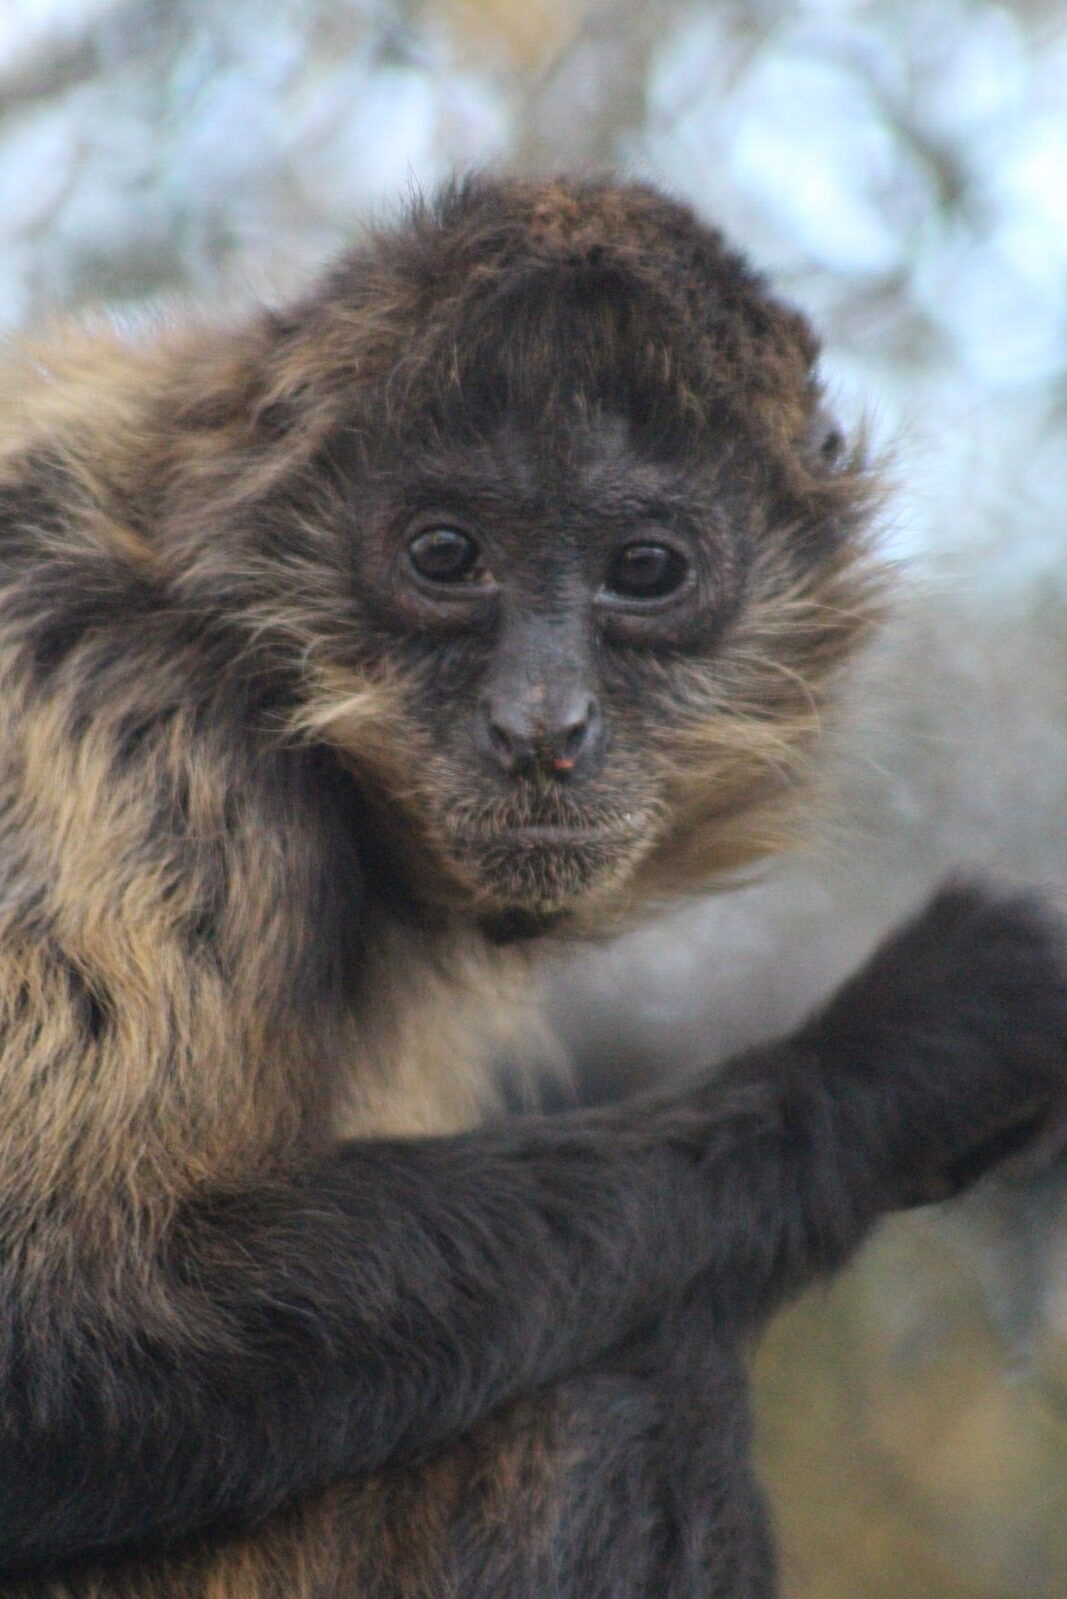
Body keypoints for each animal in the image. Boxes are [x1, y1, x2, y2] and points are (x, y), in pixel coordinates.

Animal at [0, 173, 1063, 1599]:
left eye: (644, 571)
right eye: (446, 555)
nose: (542, 725)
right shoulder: (112, 699)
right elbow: (47, 1340)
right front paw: (900, 1048)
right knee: (620, 1390)